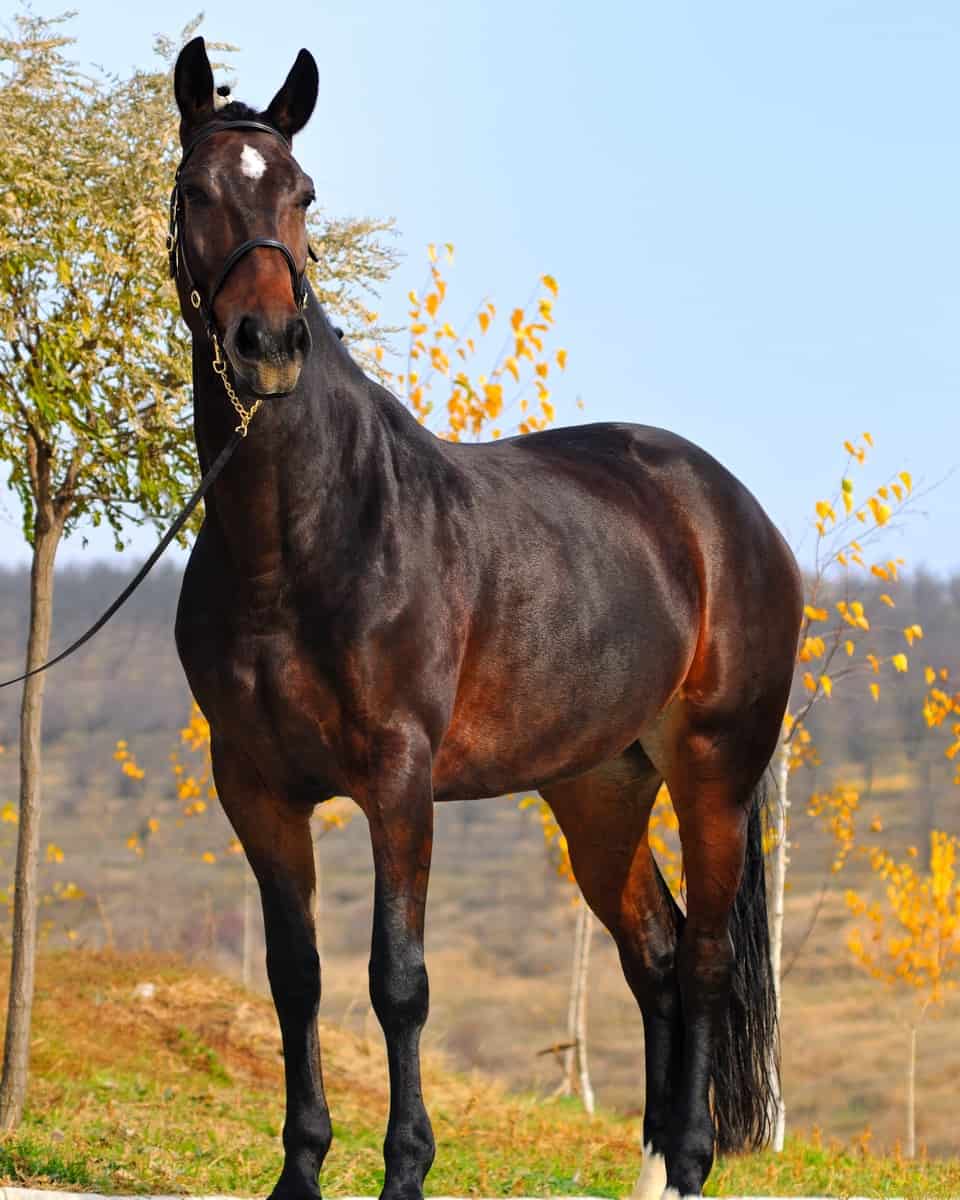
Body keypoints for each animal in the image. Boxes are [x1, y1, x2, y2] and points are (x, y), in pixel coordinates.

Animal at [169, 37, 803, 1200]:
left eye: (303, 192)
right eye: (196, 191)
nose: (268, 342)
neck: (303, 533)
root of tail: (728, 508)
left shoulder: (398, 779)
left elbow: (399, 981)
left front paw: (407, 1170)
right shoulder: (255, 786)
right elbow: (296, 976)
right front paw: (300, 1171)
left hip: (716, 774)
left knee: (702, 962)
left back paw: (689, 1159)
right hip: (599, 789)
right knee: (653, 953)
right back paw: (651, 1165)